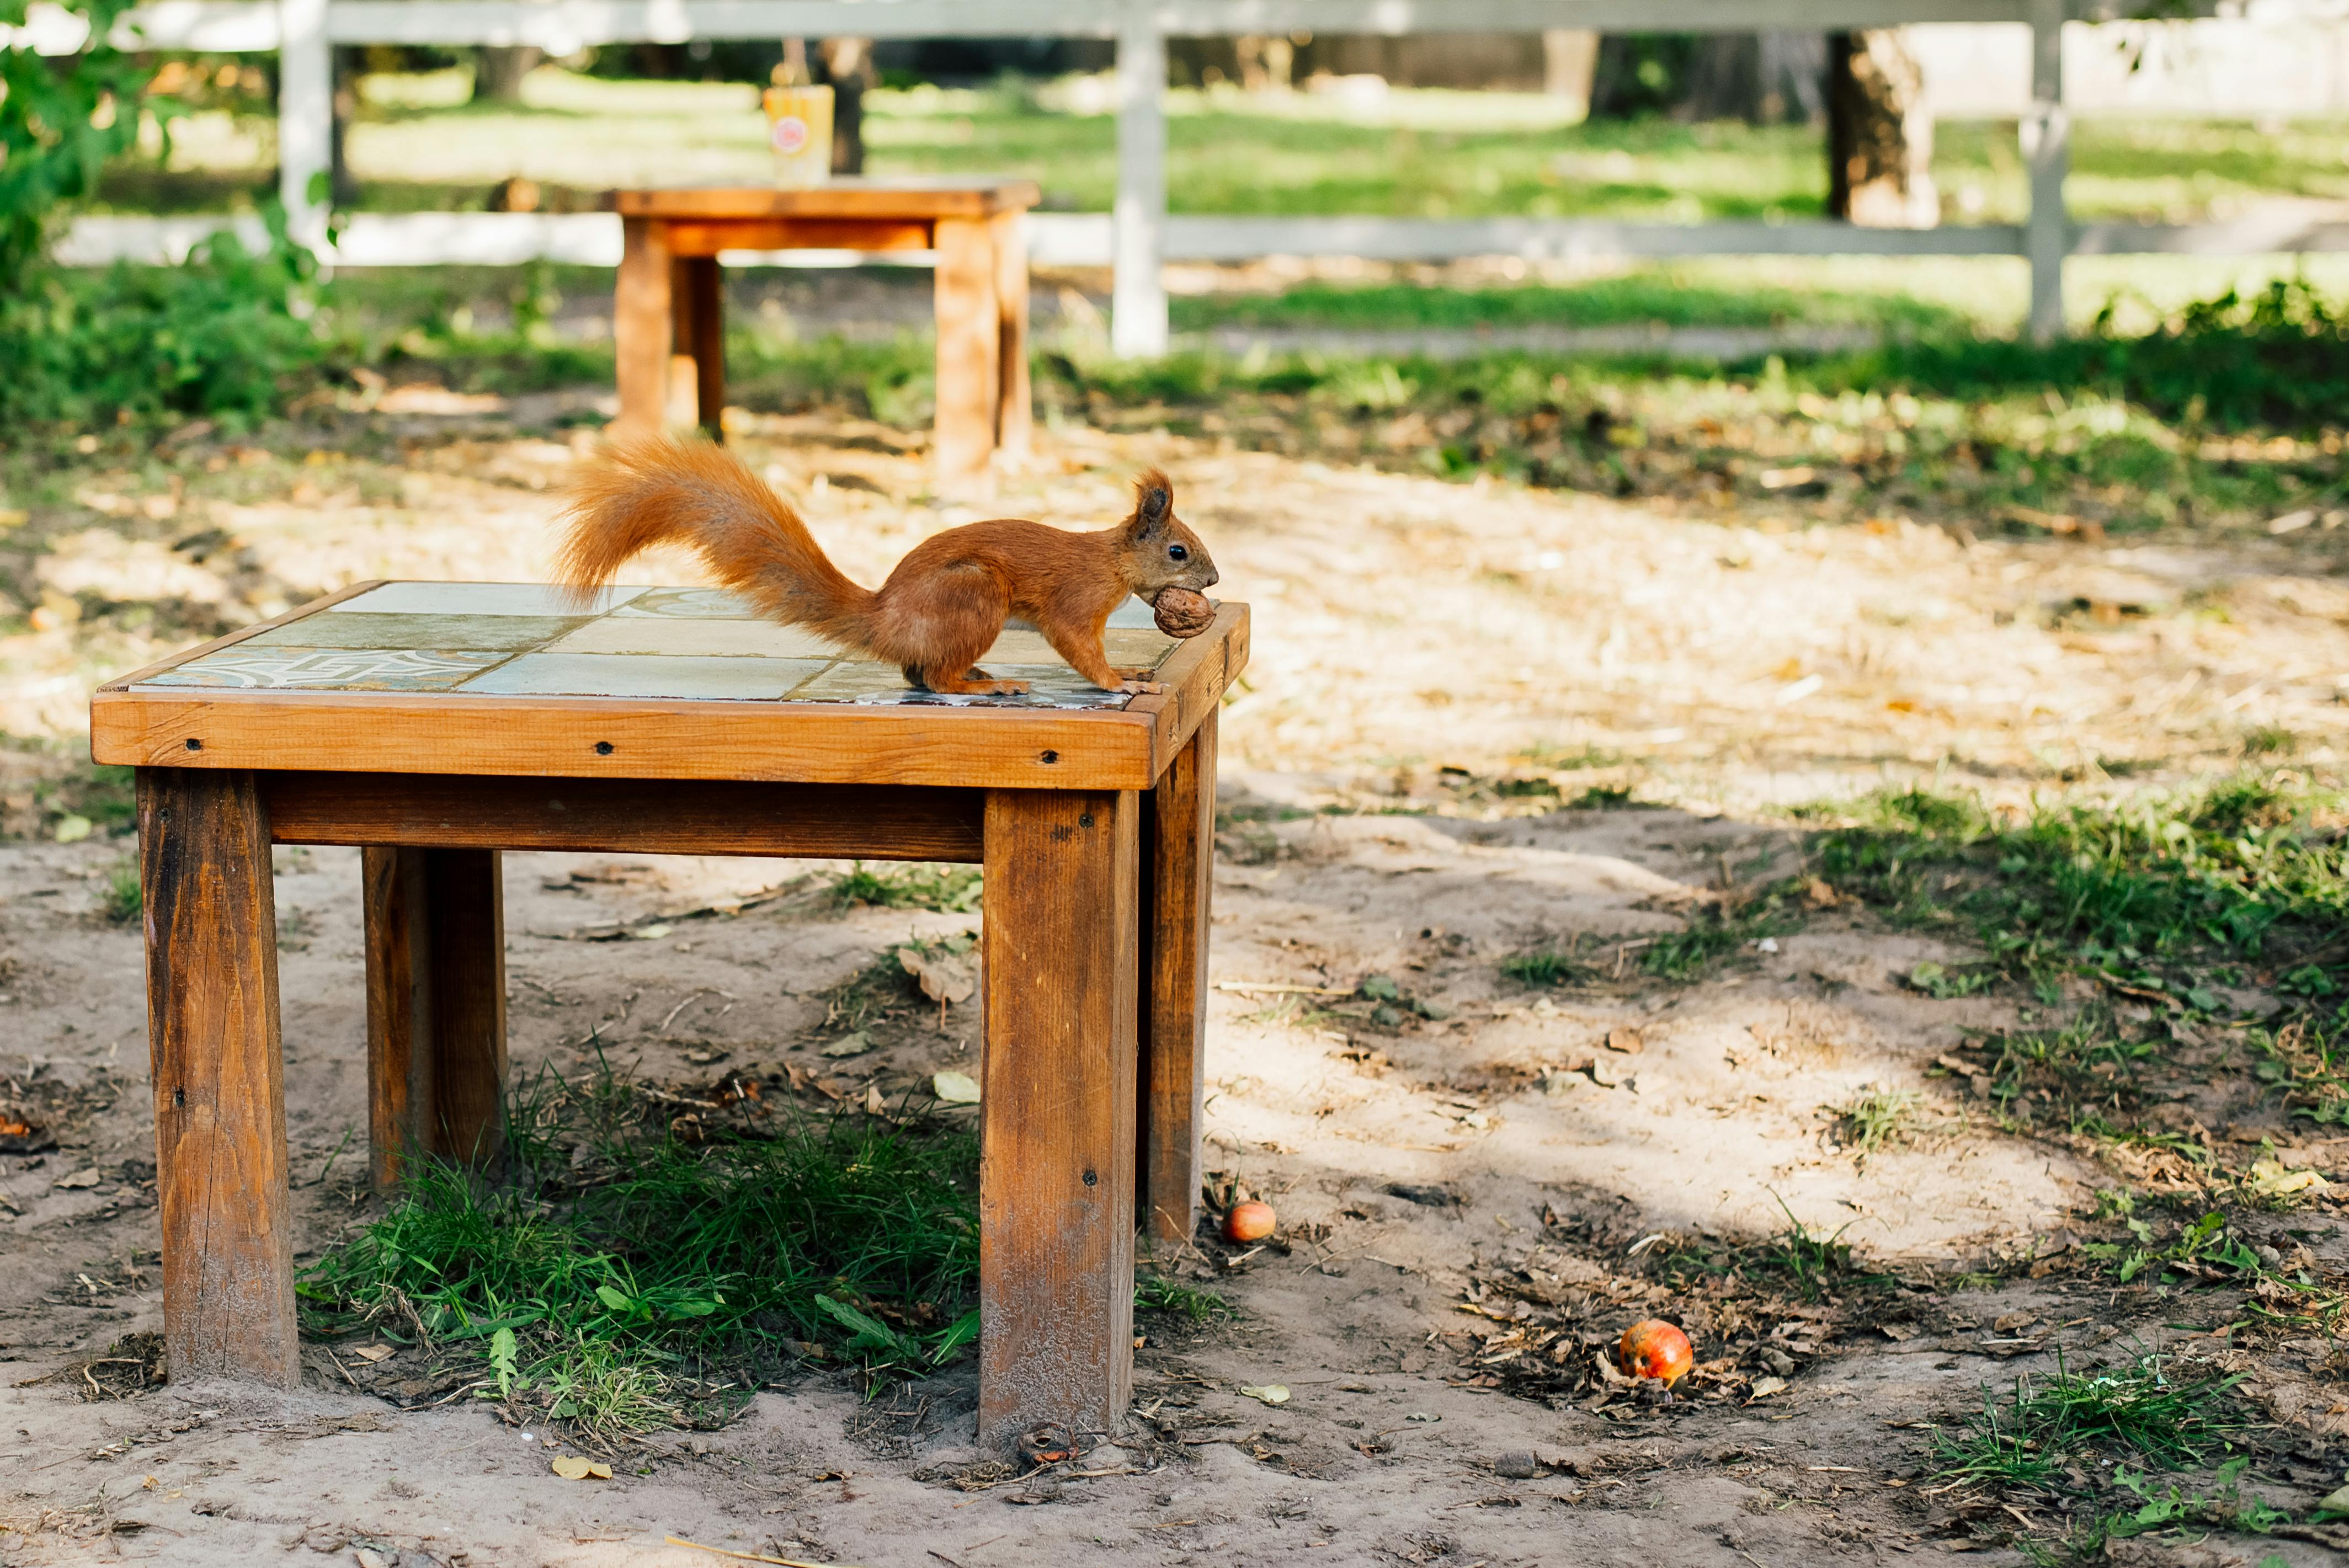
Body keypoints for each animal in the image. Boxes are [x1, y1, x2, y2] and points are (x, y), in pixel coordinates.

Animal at [554, 436, 1219, 697]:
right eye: (1178, 551)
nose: (1213, 582)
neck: (1112, 561)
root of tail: (884, 618)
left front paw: (1129, 669)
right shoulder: (1075, 603)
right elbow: (1080, 647)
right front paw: (1119, 681)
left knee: (918, 675)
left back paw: (979, 674)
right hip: (974, 594)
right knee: (936, 680)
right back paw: (988, 684)